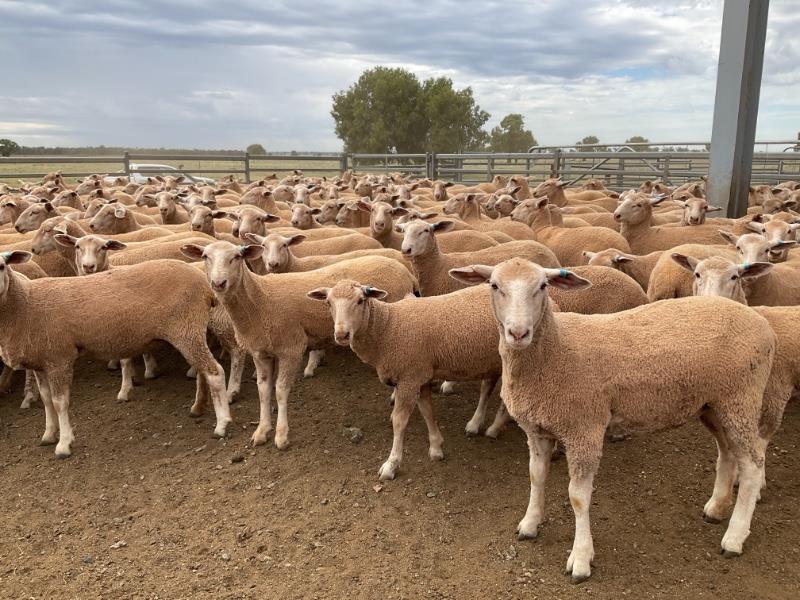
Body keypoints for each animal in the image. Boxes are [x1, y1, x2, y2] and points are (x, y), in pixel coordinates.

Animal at [0, 253, 232, 457]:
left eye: (2, 266)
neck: (26, 304)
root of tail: (204, 285)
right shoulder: (40, 362)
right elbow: (47, 400)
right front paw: (49, 434)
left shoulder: (59, 358)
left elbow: (60, 403)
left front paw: (64, 444)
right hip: (191, 331)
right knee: (203, 370)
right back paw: (198, 407)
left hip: (187, 327)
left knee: (215, 372)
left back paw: (222, 424)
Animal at [180, 241, 417, 450]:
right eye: (205, 256)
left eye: (237, 257)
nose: (218, 283)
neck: (260, 300)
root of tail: (404, 269)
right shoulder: (260, 352)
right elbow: (263, 390)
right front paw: (262, 430)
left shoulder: (291, 348)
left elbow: (280, 390)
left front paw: (281, 436)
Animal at [452, 257, 775, 583]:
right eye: (494, 285)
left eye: (542, 286)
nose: (518, 333)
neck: (556, 351)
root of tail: (761, 322)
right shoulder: (538, 429)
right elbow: (536, 476)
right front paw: (530, 523)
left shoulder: (584, 429)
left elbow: (578, 497)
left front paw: (581, 558)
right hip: (715, 404)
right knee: (727, 452)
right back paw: (716, 508)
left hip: (741, 397)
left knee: (752, 465)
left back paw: (734, 537)